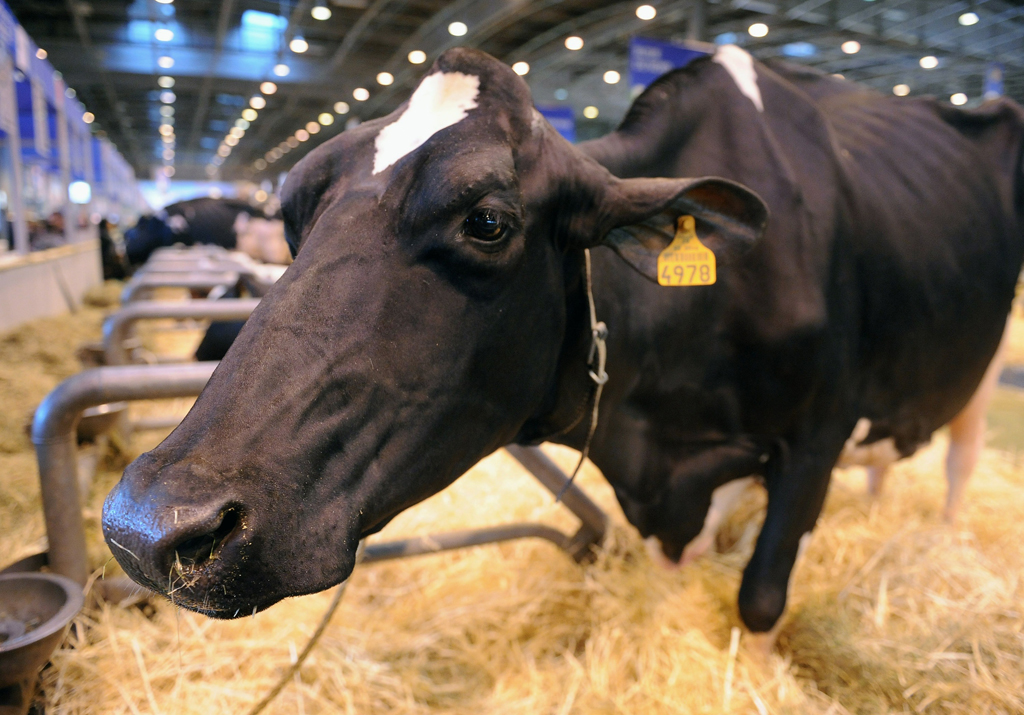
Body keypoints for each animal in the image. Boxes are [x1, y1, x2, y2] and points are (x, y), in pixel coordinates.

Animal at [102, 47, 1024, 645]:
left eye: (487, 220)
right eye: (293, 210)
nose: (146, 524)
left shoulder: (816, 433)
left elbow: (761, 600)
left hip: (979, 363)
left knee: (958, 459)